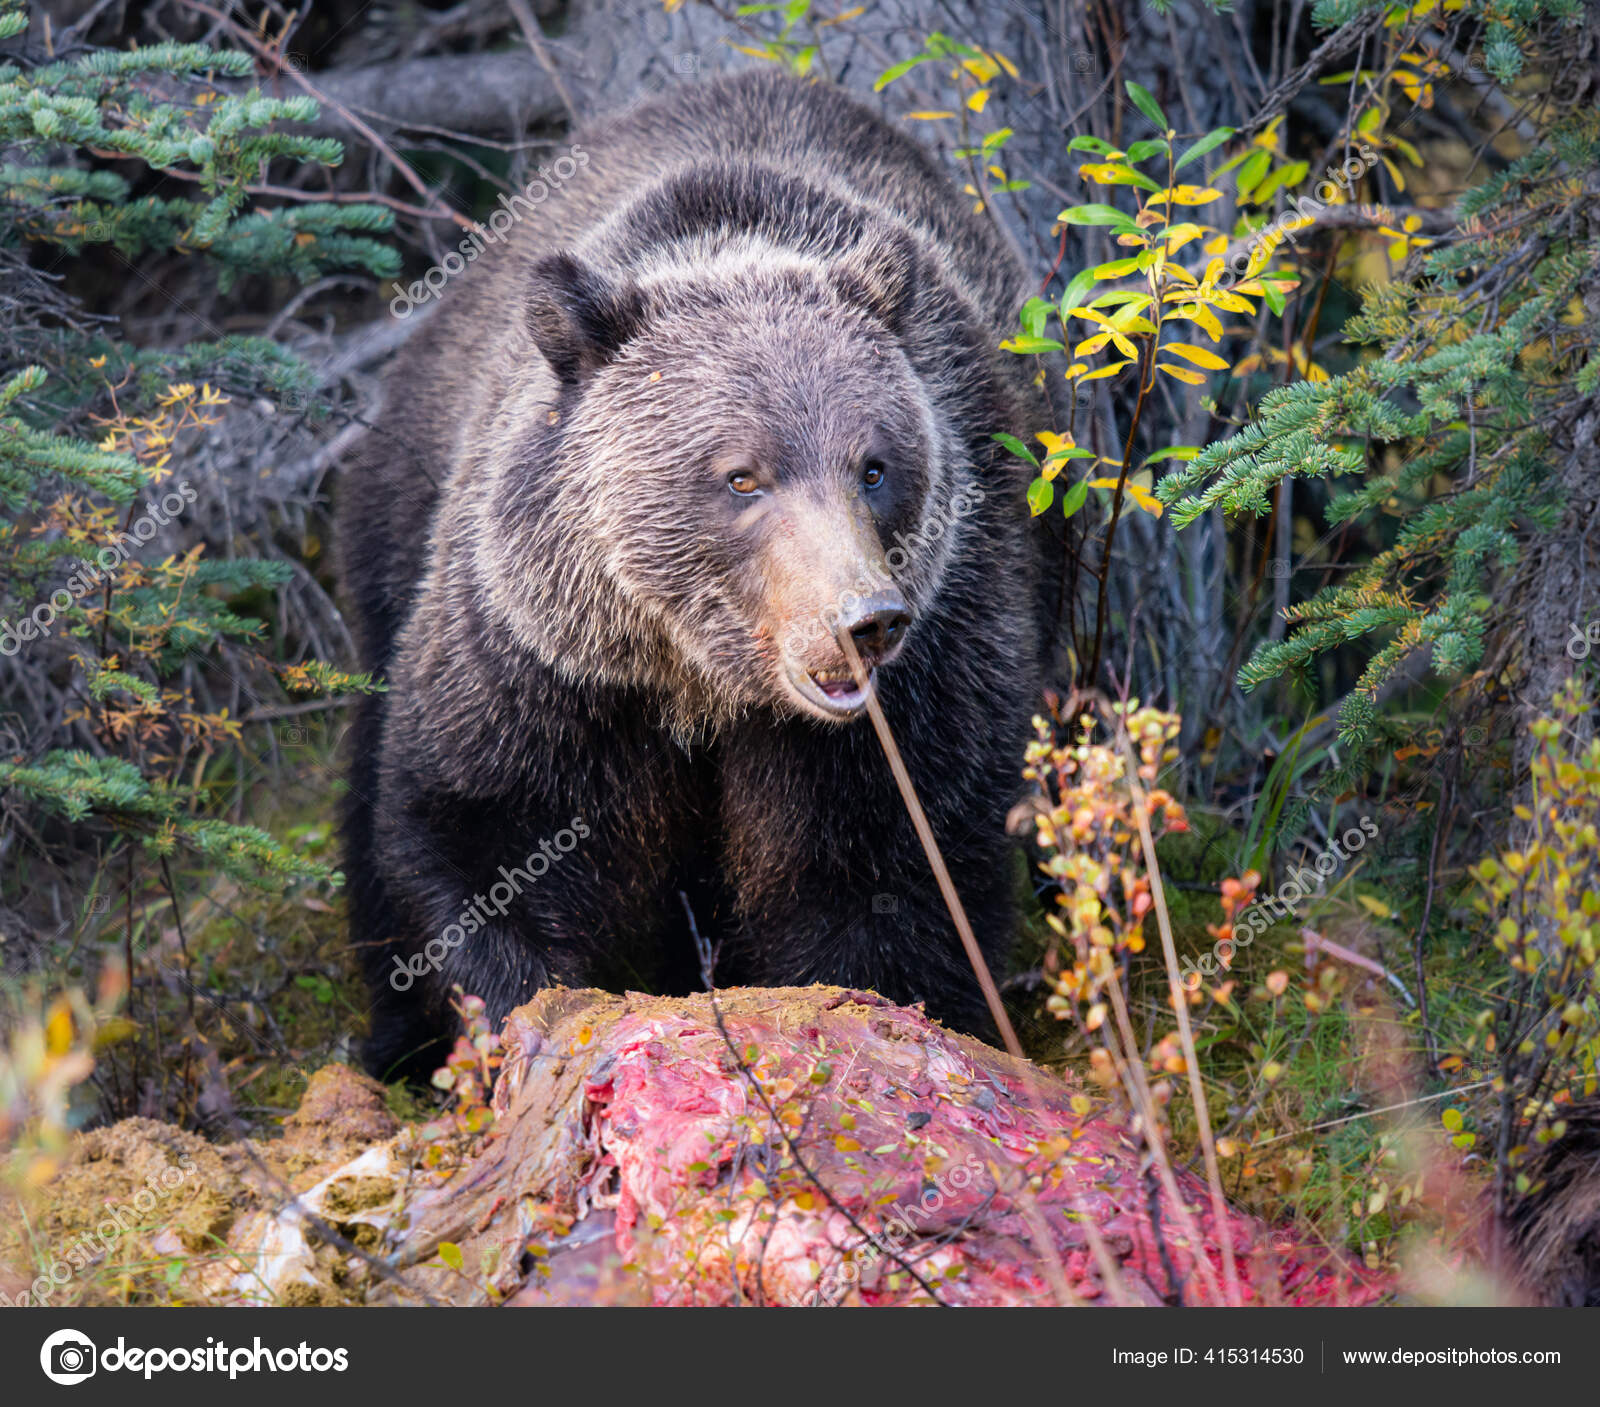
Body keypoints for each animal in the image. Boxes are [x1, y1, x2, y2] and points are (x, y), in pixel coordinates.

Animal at [337, 69, 1044, 1080]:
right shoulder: (547, 663)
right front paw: (517, 1016)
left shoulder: (929, 666)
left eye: (874, 465)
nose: (864, 618)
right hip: (397, 516)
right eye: (742, 475)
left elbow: (891, 874)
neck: (702, 683)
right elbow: (480, 830)